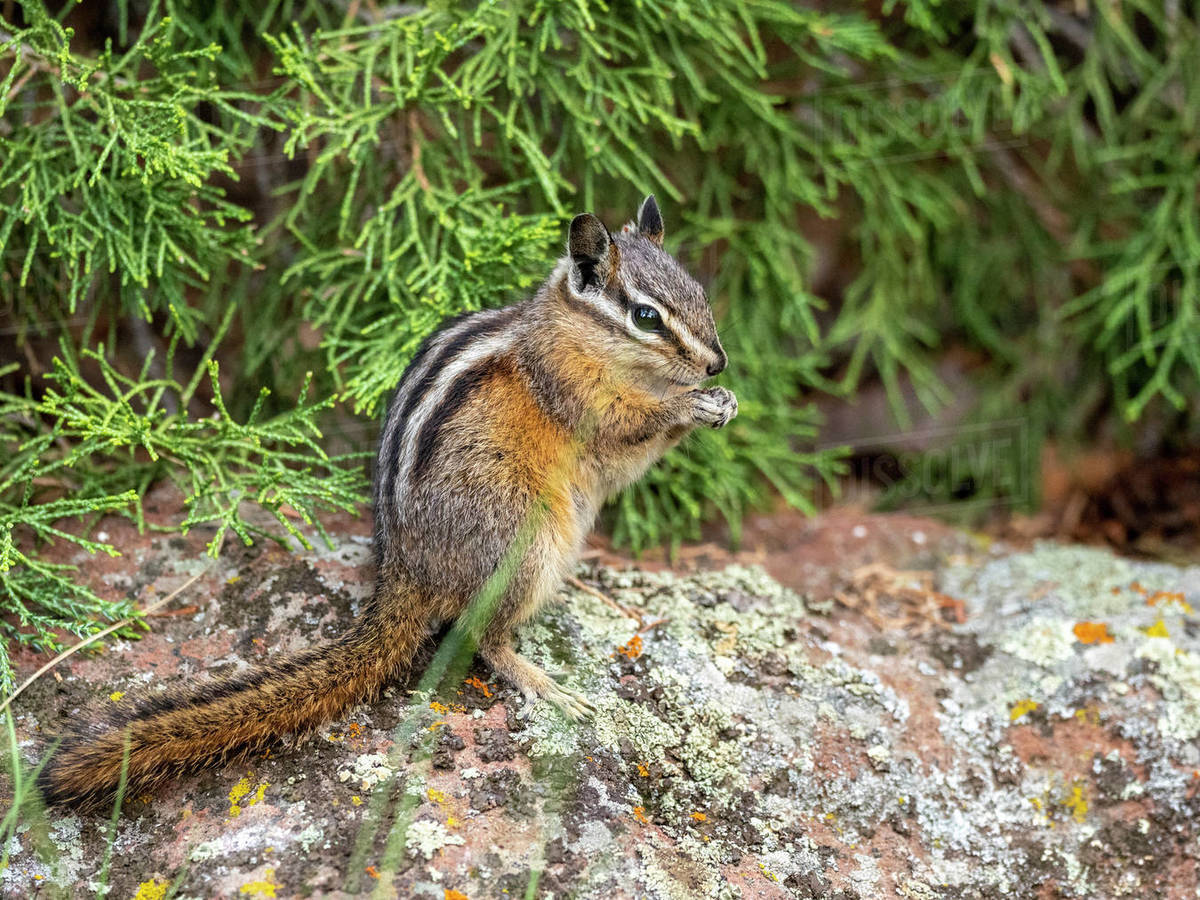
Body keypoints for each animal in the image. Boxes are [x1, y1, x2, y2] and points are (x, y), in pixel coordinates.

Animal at [37, 195, 737, 809]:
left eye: (701, 294)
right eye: (646, 316)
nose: (718, 364)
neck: (575, 334)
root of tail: (404, 570)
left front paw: (719, 403)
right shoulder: (570, 390)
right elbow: (620, 426)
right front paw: (687, 407)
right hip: (525, 536)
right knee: (479, 634)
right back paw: (547, 685)